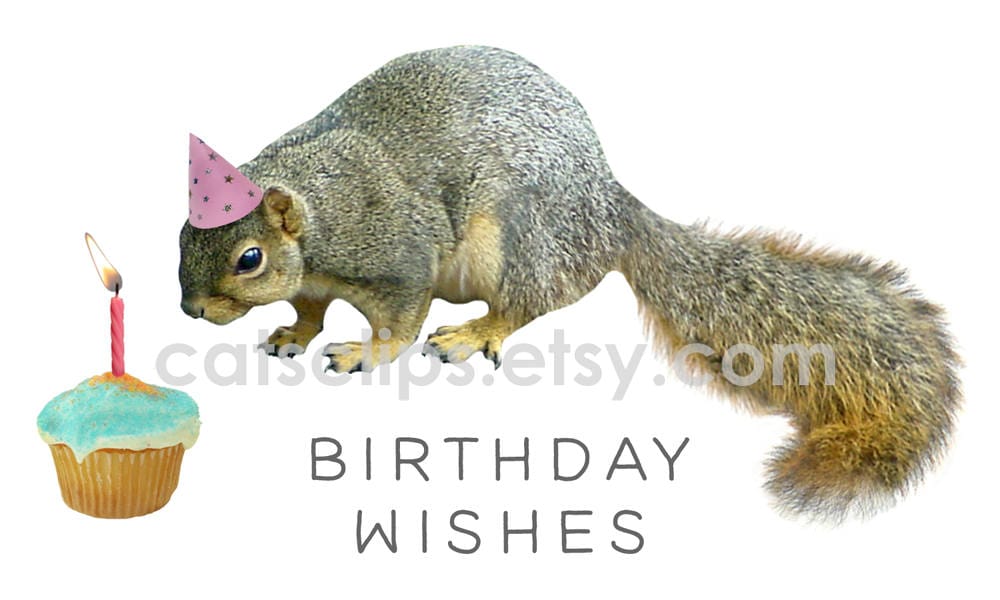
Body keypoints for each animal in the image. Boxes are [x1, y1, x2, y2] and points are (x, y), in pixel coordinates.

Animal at [179, 45, 961, 521]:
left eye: (249, 258)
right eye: (181, 234)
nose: (190, 310)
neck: (318, 218)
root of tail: (608, 208)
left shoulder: (398, 255)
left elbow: (398, 323)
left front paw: (363, 351)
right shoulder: (317, 279)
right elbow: (310, 307)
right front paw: (295, 331)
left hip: (521, 240)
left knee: (532, 299)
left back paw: (478, 331)